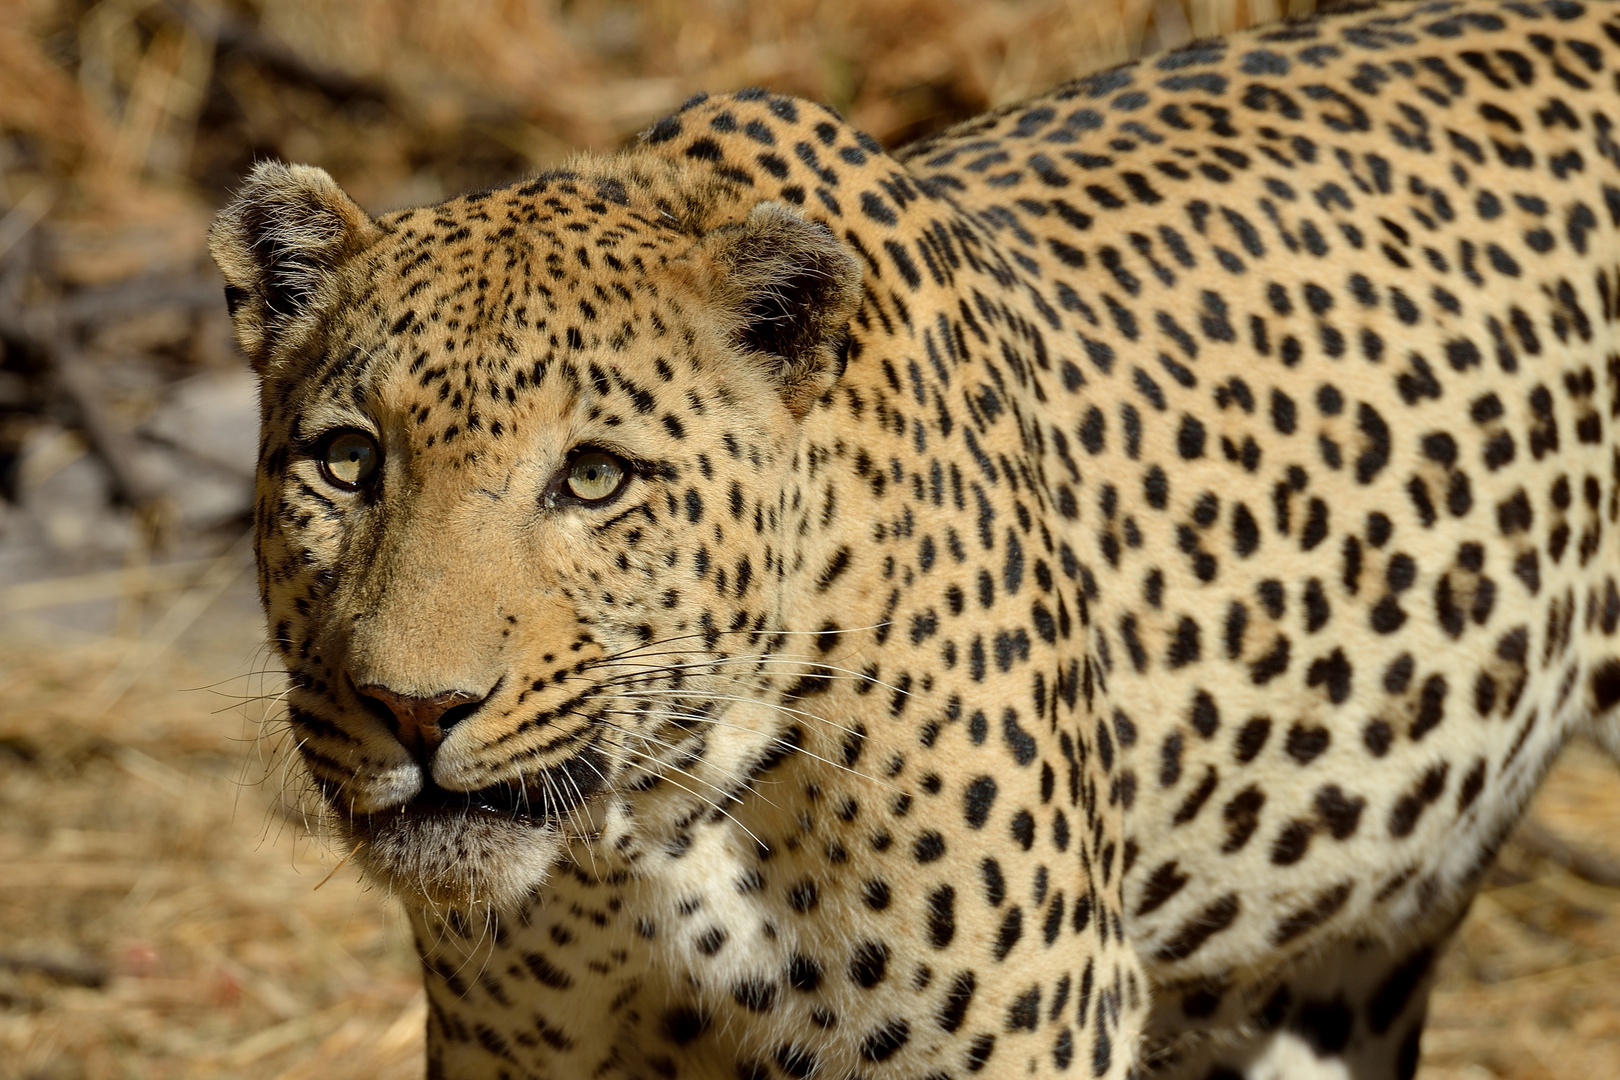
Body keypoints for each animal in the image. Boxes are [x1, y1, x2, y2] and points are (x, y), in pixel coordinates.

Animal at [208, 0, 1620, 1076]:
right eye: (349, 461)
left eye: (596, 478)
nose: (415, 710)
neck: (647, 843)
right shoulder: (517, 1048)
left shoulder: (1035, 1028)